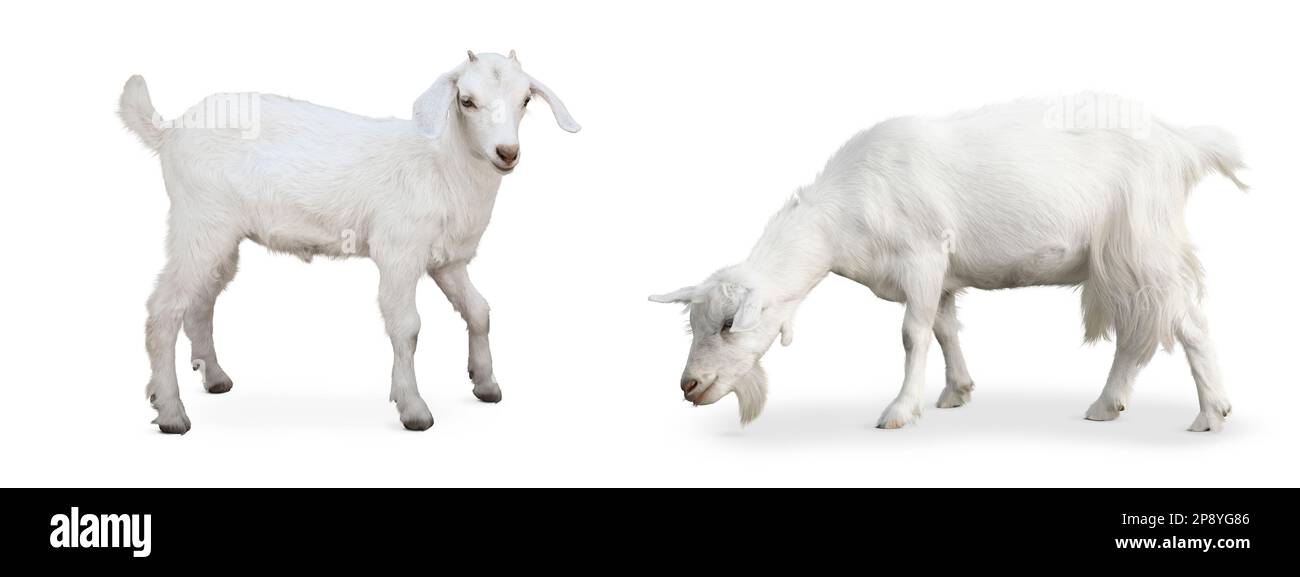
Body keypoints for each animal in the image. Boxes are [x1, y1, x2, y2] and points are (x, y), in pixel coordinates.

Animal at [121, 51, 580, 433]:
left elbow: (479, 310)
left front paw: (485, 383)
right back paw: (171, 412)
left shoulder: (447, 260)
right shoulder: (398, 251)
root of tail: (169, 132)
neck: (442, 167)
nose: (507, 152)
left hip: (219, 235)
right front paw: (413, 408)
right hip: (198, 222)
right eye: (466, 100)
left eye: (525, 100)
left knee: (200, 303)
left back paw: (214, 378)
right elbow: (407, 327)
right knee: (164, 309)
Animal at [651, 94, 1244, 432]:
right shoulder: (940, 277)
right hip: (1118, 260)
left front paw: (899, 410)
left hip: (1141, 245)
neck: (843, 214)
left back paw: (1210, 413)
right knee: (1136, 333)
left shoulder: (922, 258)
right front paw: (957, 391)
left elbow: (912, 335)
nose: (688, 386)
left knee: (1187, 322)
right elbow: (944, 330)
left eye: (729, 323)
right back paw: (1108, 405)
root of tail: (1179, 143)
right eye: (695, 324)